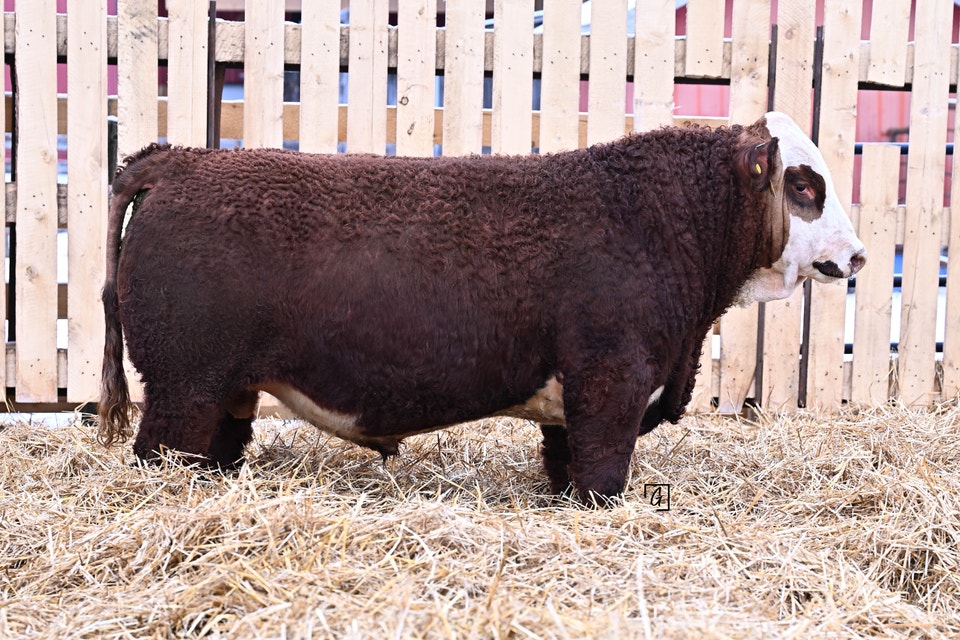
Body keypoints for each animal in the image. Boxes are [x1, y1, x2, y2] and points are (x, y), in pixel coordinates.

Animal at [99, 111, 865, 505]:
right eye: (802, 184)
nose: (859, 256)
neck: (659, 221)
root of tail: (180, 158)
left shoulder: (573, 406)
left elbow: (567, 470)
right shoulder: (612, 385)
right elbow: (603, 476)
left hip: (226, 393)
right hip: (181, 386)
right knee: (157, 455)